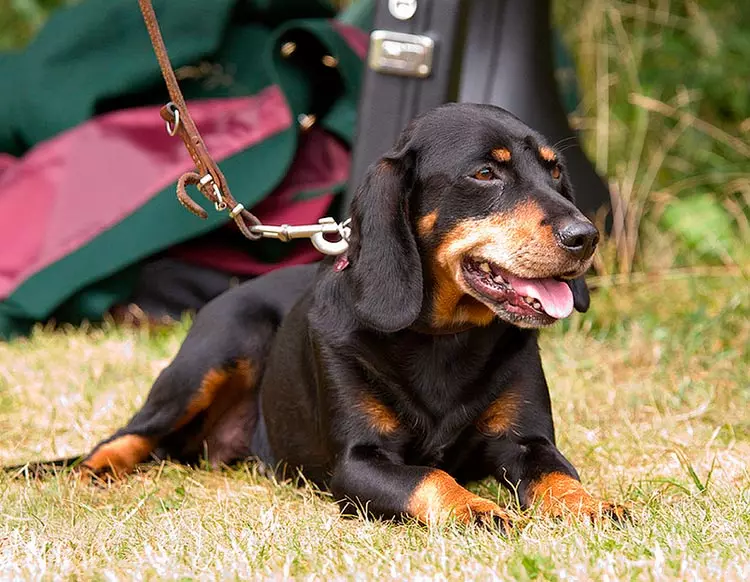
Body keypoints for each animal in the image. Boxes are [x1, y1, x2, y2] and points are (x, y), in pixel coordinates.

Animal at [22, 105, 628, 528]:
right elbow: (430, 477)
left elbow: (558, 474)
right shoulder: (357, 463)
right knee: (126, 434)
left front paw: (591, 505)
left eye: (555, 172)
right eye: (485, 173)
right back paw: (94, 471)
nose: (586, 237)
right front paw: (476, 508)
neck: (442, 340)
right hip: (214, 353)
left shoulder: (528, 443)